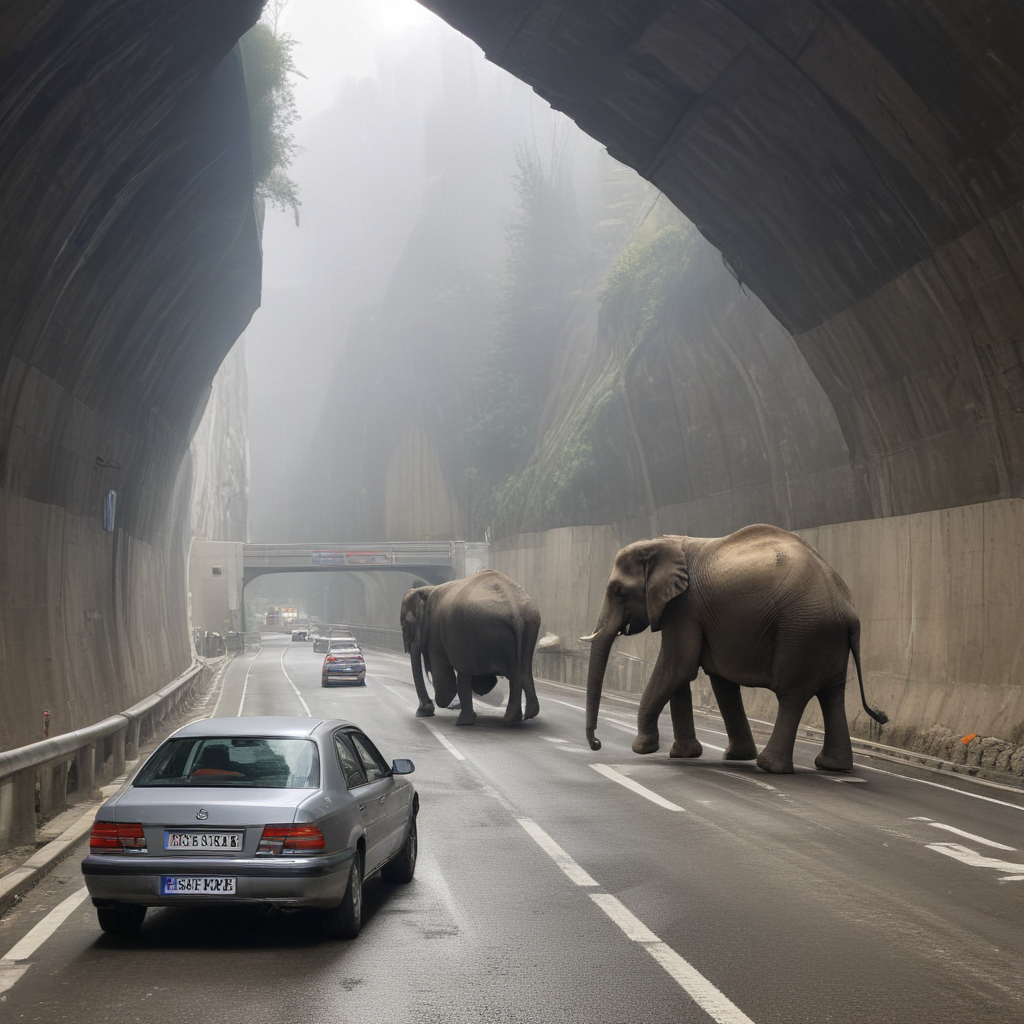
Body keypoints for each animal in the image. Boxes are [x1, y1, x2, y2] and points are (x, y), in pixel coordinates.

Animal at [400, 569, 542, 726]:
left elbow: (444, 682)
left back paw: (464, 722)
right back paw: (519, 717)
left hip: (467, 633)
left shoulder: (434, 634)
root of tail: (515, 612)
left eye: (405, 624)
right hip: (528, 628)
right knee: (522, 673)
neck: (427, 590)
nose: (426, 709)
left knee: (464, 675)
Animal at [581, 525, 887, 774]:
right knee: (832, 695)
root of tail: (847, 608)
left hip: (803, 632)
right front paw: (694, 754)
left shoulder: (684, 607)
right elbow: (706, 677)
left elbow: (678, 666)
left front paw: (642, 748)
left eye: (618, 590)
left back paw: (770, 766)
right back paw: (833, 766)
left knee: (793, 695)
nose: (596, 743)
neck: (665, 542)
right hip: (827, 639)